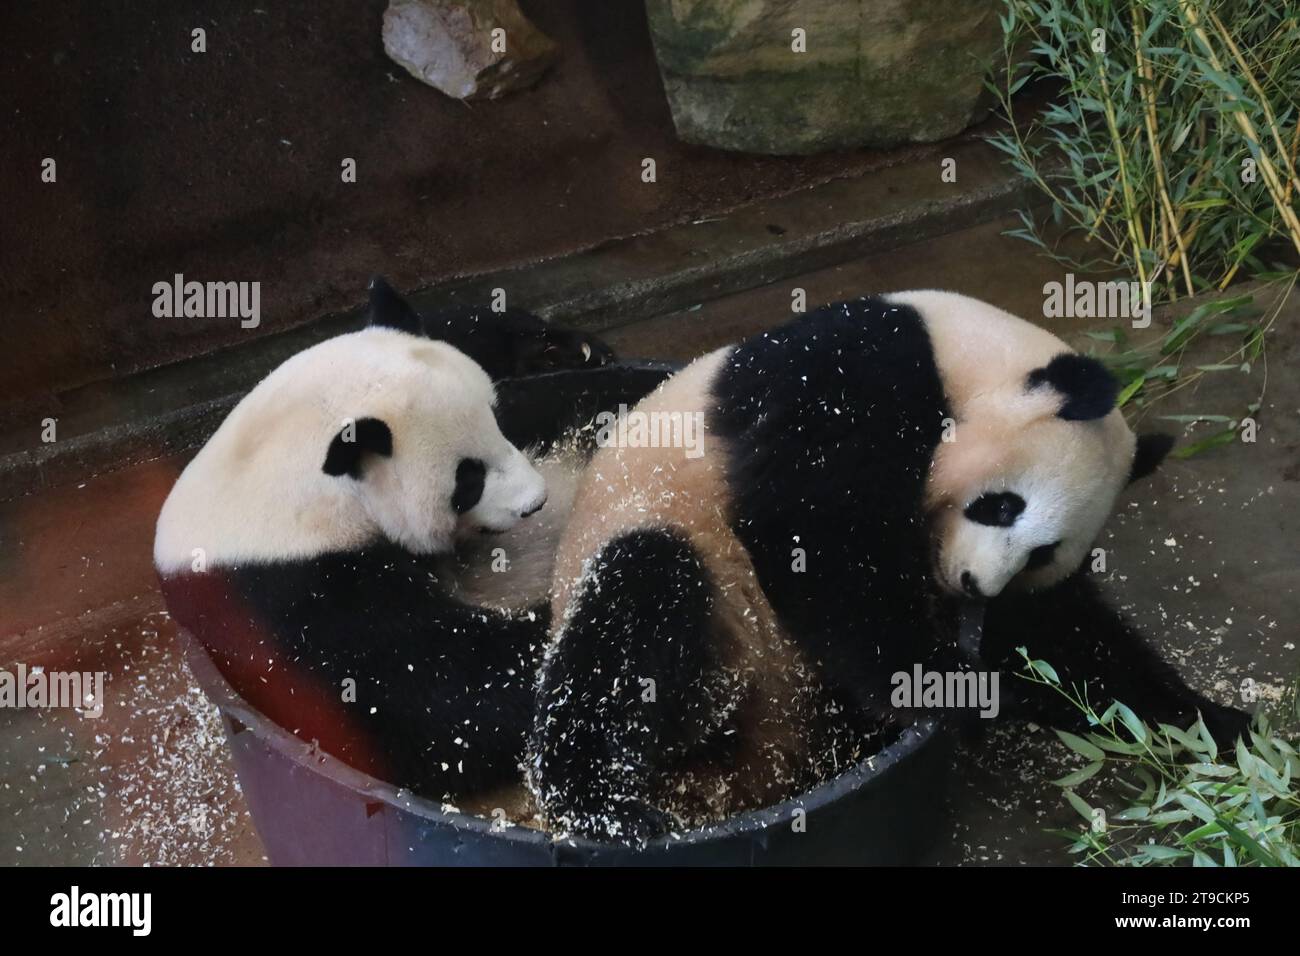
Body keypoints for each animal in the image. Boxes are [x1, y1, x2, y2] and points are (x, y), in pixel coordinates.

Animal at [527, 291, 1251, 841]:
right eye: (1001, 506)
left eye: (1045, 552)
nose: (973, 584)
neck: (961, 353)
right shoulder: (850, 376)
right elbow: (817, 539)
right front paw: (960, 689)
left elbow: (1057, 628)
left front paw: (1210, 721)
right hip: (710, 600)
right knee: (641, 608)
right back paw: (604, 806)